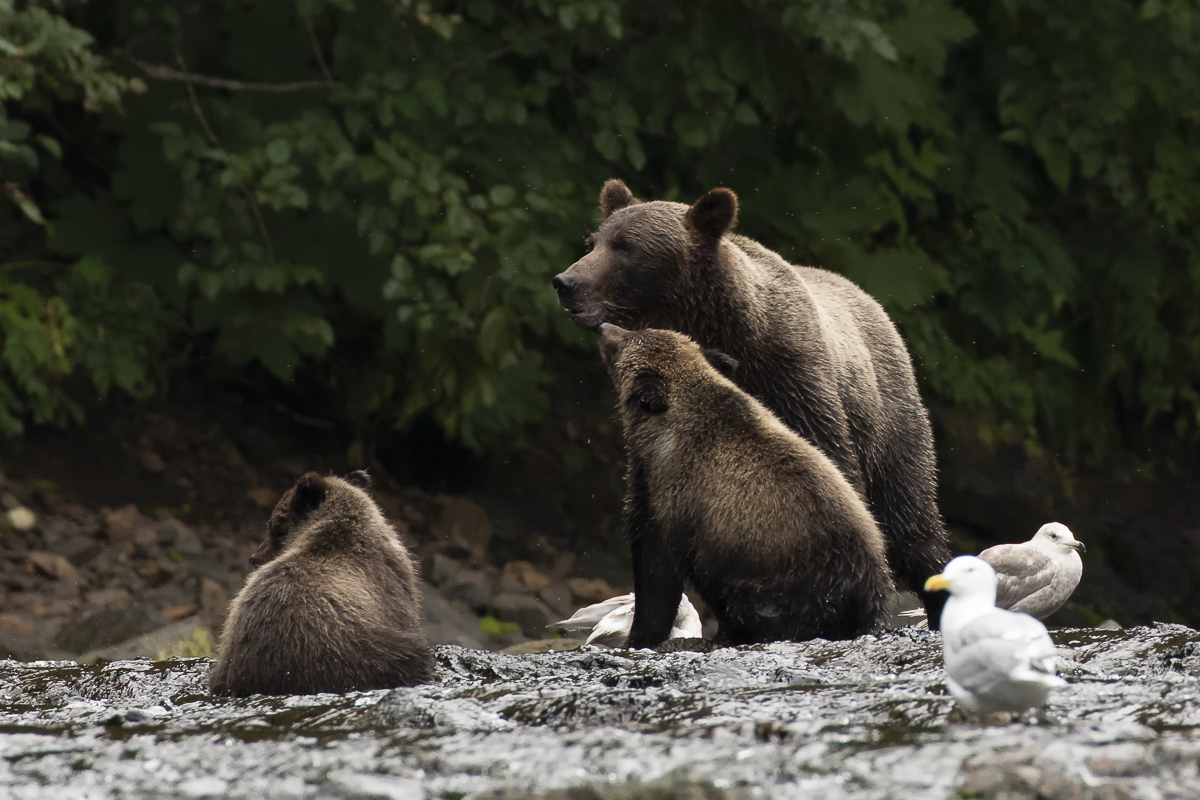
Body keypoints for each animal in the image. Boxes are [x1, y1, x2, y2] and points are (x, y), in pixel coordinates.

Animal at [599, 323, 894, 644]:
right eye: (643, 328)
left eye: (631, 338)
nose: (604, 327)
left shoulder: (670, 506)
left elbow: (656, 578)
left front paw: (639, 636)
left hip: (786, 579)